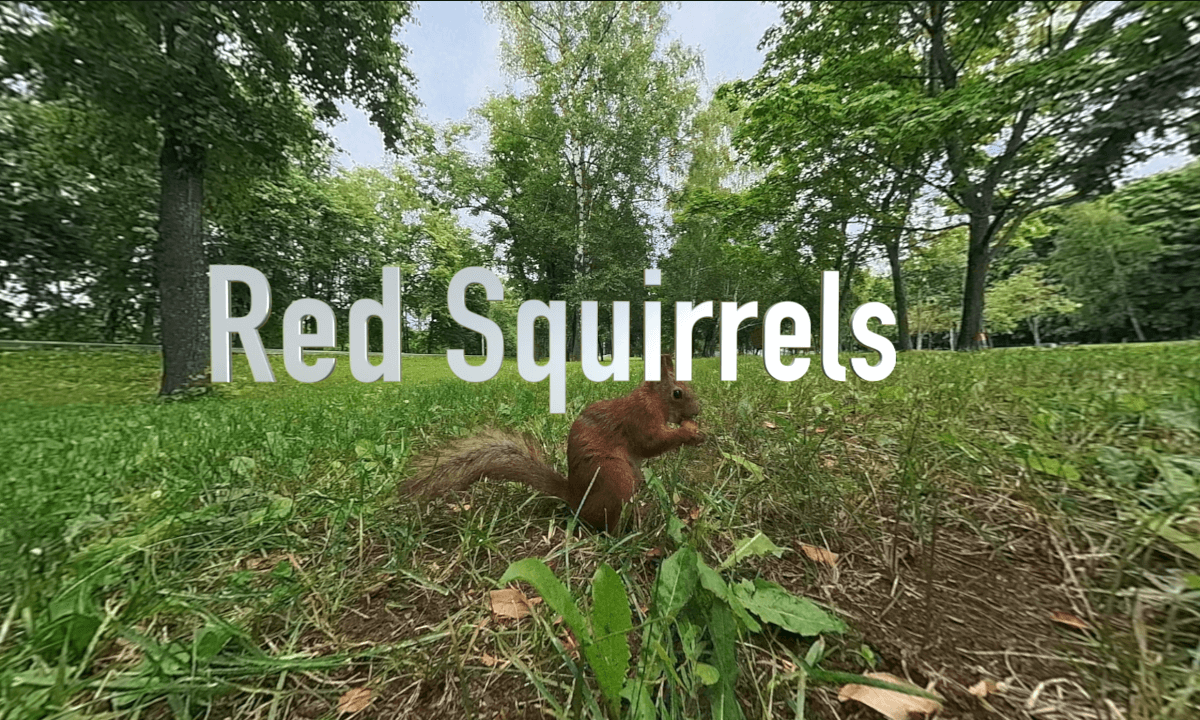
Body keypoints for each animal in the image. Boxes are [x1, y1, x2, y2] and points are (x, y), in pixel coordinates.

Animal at [404, 354, 704, 533]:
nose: (698, 411)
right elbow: (651, 443)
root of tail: (575, 498)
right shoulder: (639, 420)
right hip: (615, 476)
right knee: (603, 523)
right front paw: (689, 433)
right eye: (678, 393)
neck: (653, 400)